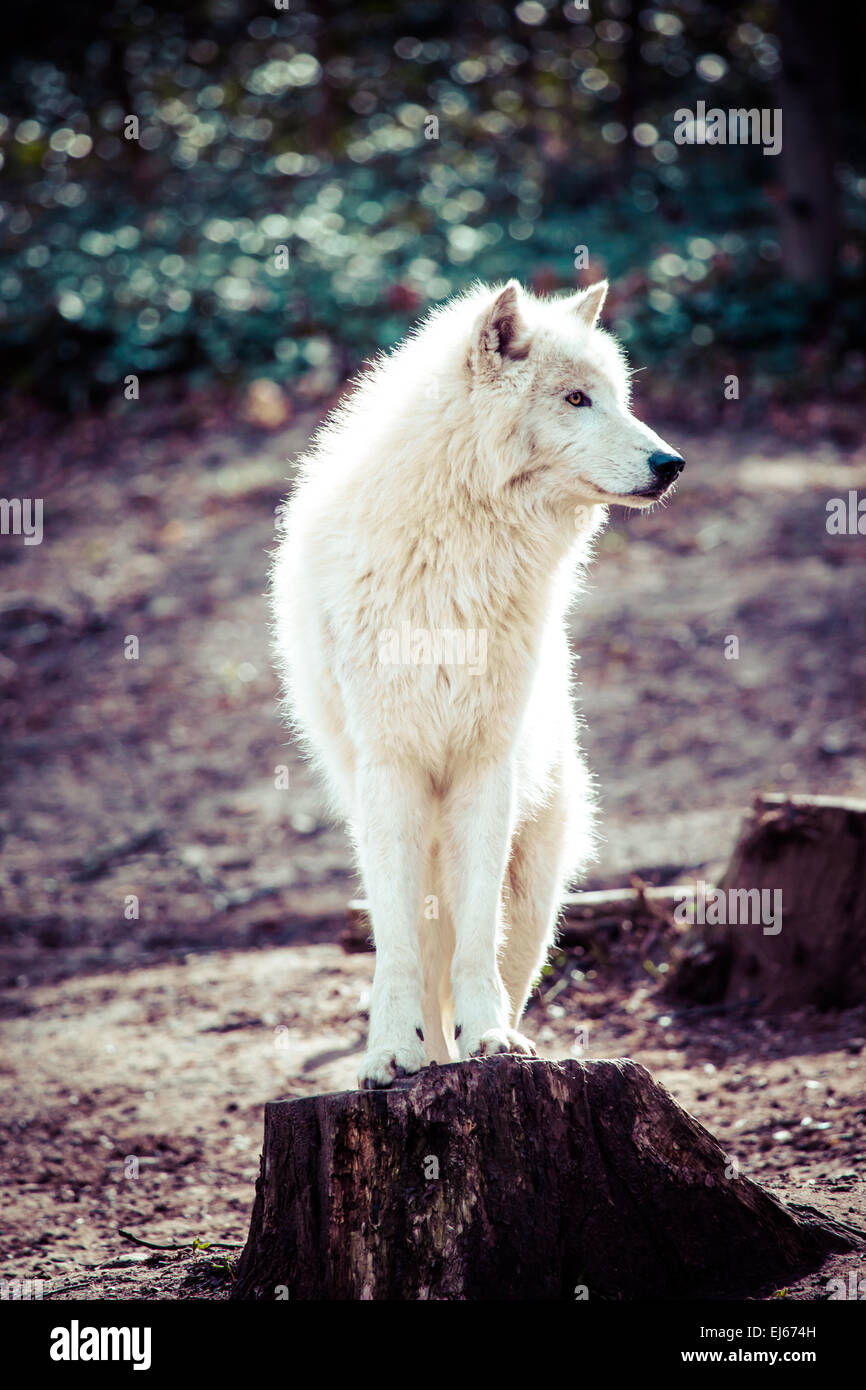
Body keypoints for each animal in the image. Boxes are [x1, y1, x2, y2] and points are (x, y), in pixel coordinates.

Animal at [270, 279, 684, 1088]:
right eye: (577, 398)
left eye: (619, 398)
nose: (672, 463)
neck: (461, 548)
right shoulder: (393, 769)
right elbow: (397, 955)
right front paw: (387, 1054)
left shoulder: (484, 766)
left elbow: (476, 944)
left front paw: (491, 1039)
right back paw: (427, 1056)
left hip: (536, 892)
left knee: (498, 957)